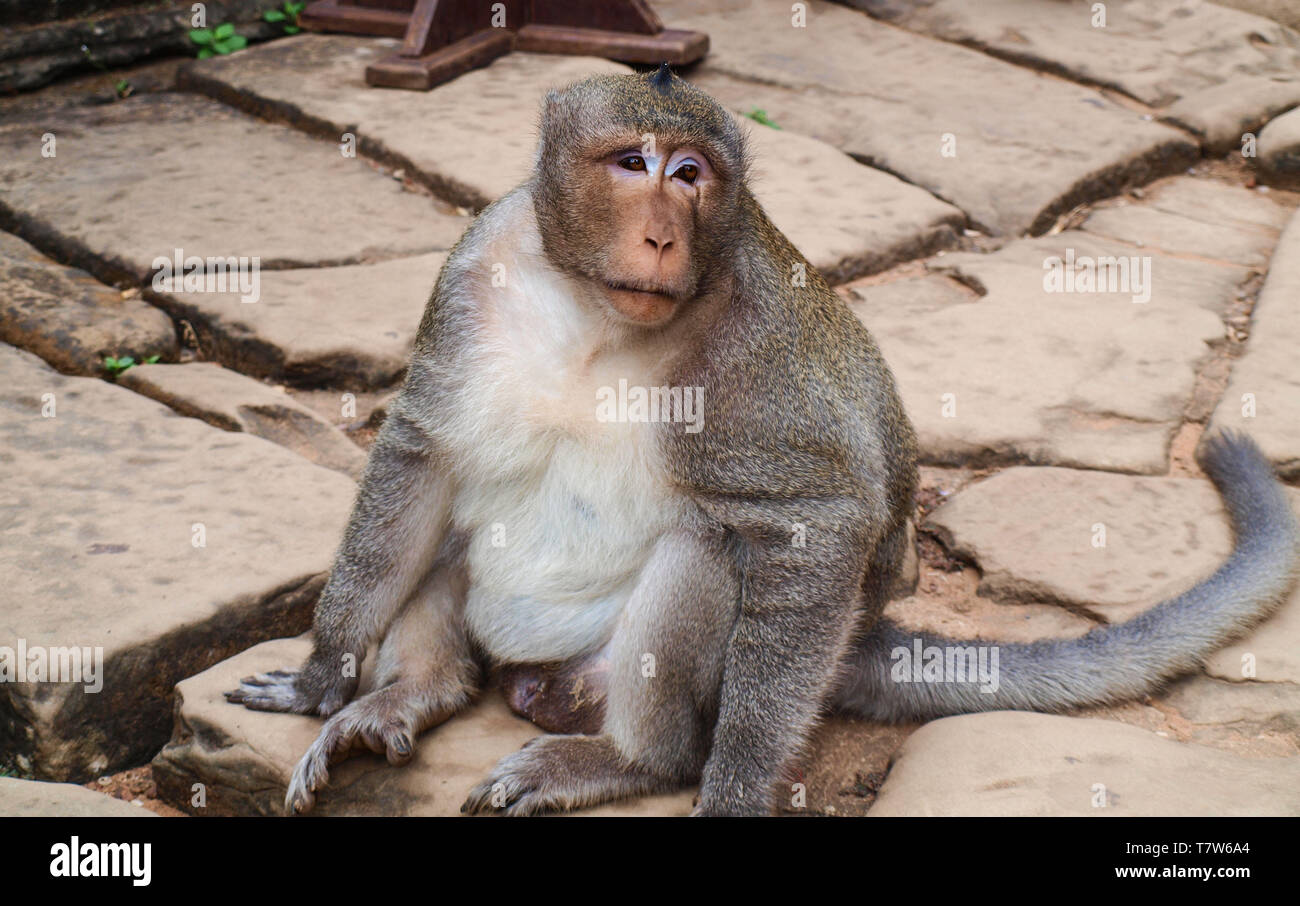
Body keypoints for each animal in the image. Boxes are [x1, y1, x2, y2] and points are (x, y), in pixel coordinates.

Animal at [227, 64, 1300, 817]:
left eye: (690, 175)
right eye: (632, 163)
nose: (662, 233)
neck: (598, 311)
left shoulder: (757, 334)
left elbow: (818, 521)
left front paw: (735, 790)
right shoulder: (471, 269)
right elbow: (422, 453)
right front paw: (325, 680)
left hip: (623, 674)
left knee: (705, 553)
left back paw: (624, 759)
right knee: (452, 528)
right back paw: (412, 694)